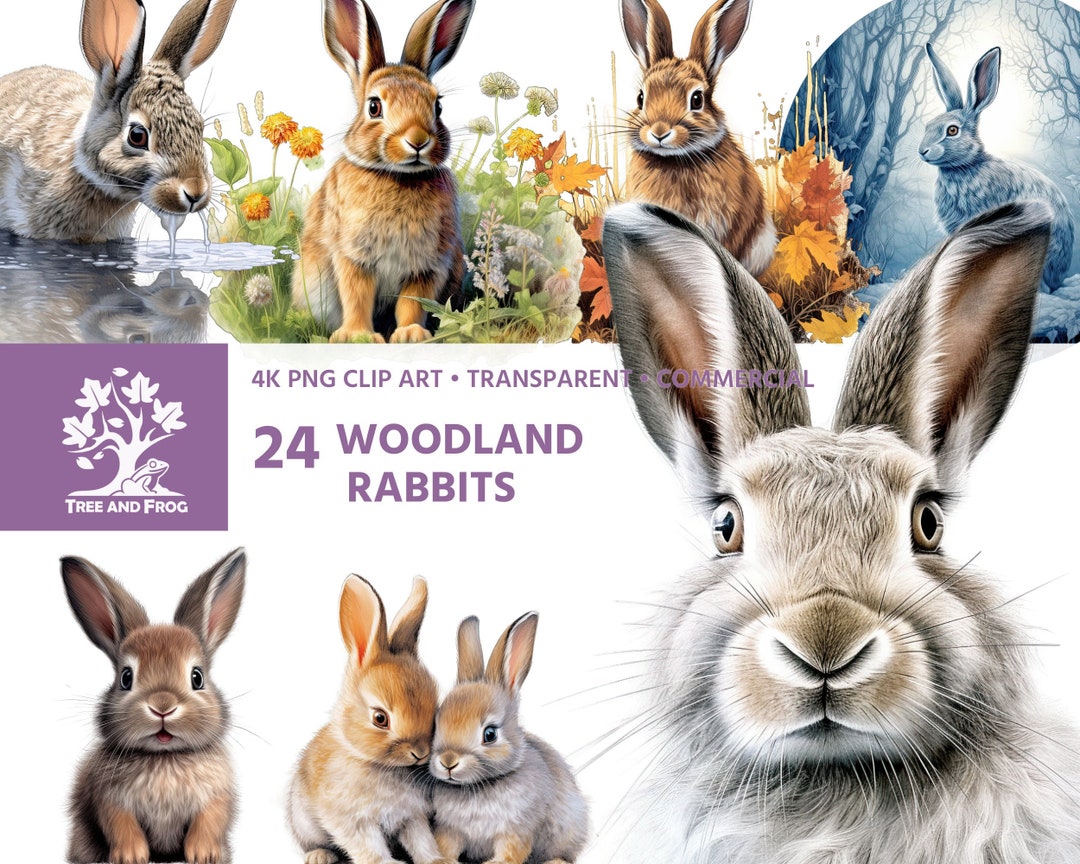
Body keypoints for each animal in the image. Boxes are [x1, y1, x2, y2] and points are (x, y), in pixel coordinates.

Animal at [61, 548, 247, 864]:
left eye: (197, 677)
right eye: (126, 677)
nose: (163, 707)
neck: (164, 758)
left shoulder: (217, 796)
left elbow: (210, 819)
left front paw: (203, 854)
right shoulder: (108, 799)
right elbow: (120, 823)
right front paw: (130, 856)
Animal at [287, 575, 454, 864]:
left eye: (434, 711)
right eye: (380, 718)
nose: (419, 752)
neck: (385, 767)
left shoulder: (411, 816)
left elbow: (421, 840)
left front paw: (437, 860)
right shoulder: (353, 819)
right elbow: (368, 845)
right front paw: (388, 863)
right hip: (304, 822)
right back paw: (320, 856)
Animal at [291, 0, 474, 344]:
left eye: (438, 106)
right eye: (374, 107)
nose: (418, 140)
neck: (398, 176)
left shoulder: (427, 264)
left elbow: (412, 302)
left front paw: (411, 334)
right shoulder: (353, 256)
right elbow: (357, 295)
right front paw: (356, 336)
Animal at [429, 613, 589, 864]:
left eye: (490, 734)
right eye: (436, 723)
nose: (448, 761)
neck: (478, 786)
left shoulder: (518, 829)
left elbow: (512, 852)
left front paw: (495, 863)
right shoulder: (449, 829)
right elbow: (446, 845)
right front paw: (445, 860)